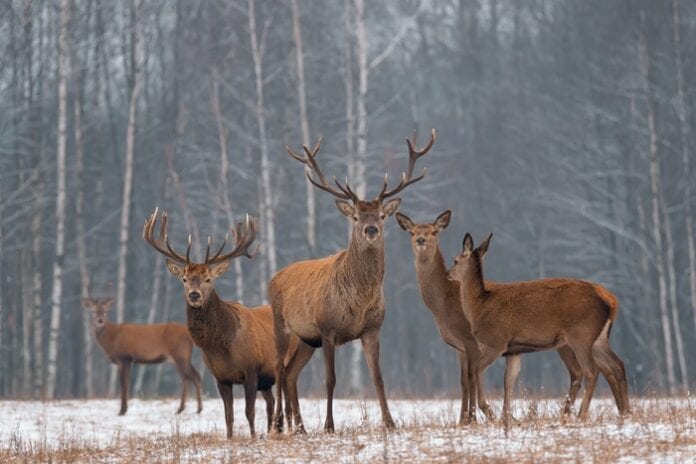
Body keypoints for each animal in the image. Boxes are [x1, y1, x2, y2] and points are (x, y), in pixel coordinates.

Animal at [142, 208, 311, 439]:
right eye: (184, 279)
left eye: (208, 279)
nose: (194, 295)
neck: (221, 347)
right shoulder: (220, 377)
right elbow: (228, 415)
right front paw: (231, 439)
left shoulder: (251, 369)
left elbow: (249, 412)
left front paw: (252, 438)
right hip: (268, 378)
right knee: (273, 400)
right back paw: (276, 430)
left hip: (298, 352)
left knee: (289, 387)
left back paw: (294, 429)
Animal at [269, 129, 436, 433]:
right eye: (356, 216)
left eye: (381, 215)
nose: (370, 229)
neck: (358, 302)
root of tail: (275, 277)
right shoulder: (327, 329)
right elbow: (330, 379)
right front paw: (329, 425)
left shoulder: (372, 329)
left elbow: (378, 377)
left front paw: (390, 422)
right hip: (281, 325)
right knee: (277, 367)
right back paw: (277, 425)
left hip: (306, 339)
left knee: (290, 373)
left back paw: (299, 427)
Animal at [395, 210, 588, 423]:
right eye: (412, 232)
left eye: (434, 231)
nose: (421, 240)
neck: (444, 305)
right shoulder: (460, 346)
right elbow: (463, 381)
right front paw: (462, 420)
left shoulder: (471, 340)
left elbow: (471, 377)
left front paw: (472, 418)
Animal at [447, 232, 630, 429]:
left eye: (455, 260)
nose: (448, 274)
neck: (478, 307)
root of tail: (611, 302)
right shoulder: (514, 351)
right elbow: (508, 382)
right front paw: (506, 418)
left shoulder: (497, 342)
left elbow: (477, 369)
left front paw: (488, 409)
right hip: (598, 339)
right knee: (617, 364)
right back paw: (626, 412)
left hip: (581, 335)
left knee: (591, 371)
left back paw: (582, 415)